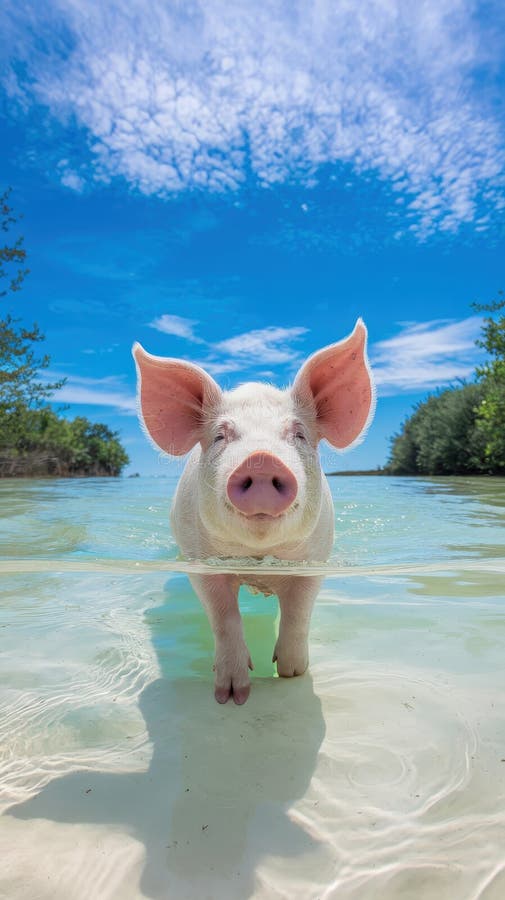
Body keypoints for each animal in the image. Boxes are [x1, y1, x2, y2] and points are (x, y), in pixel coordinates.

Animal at [133, 319, 374, 705]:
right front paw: (232, 695)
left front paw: (292, 674)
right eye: (221, 435)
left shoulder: (316, 559)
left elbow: (298, 612)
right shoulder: (201, 563)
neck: (258, 560)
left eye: (298, 433)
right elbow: (223, 615)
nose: (261, 459)